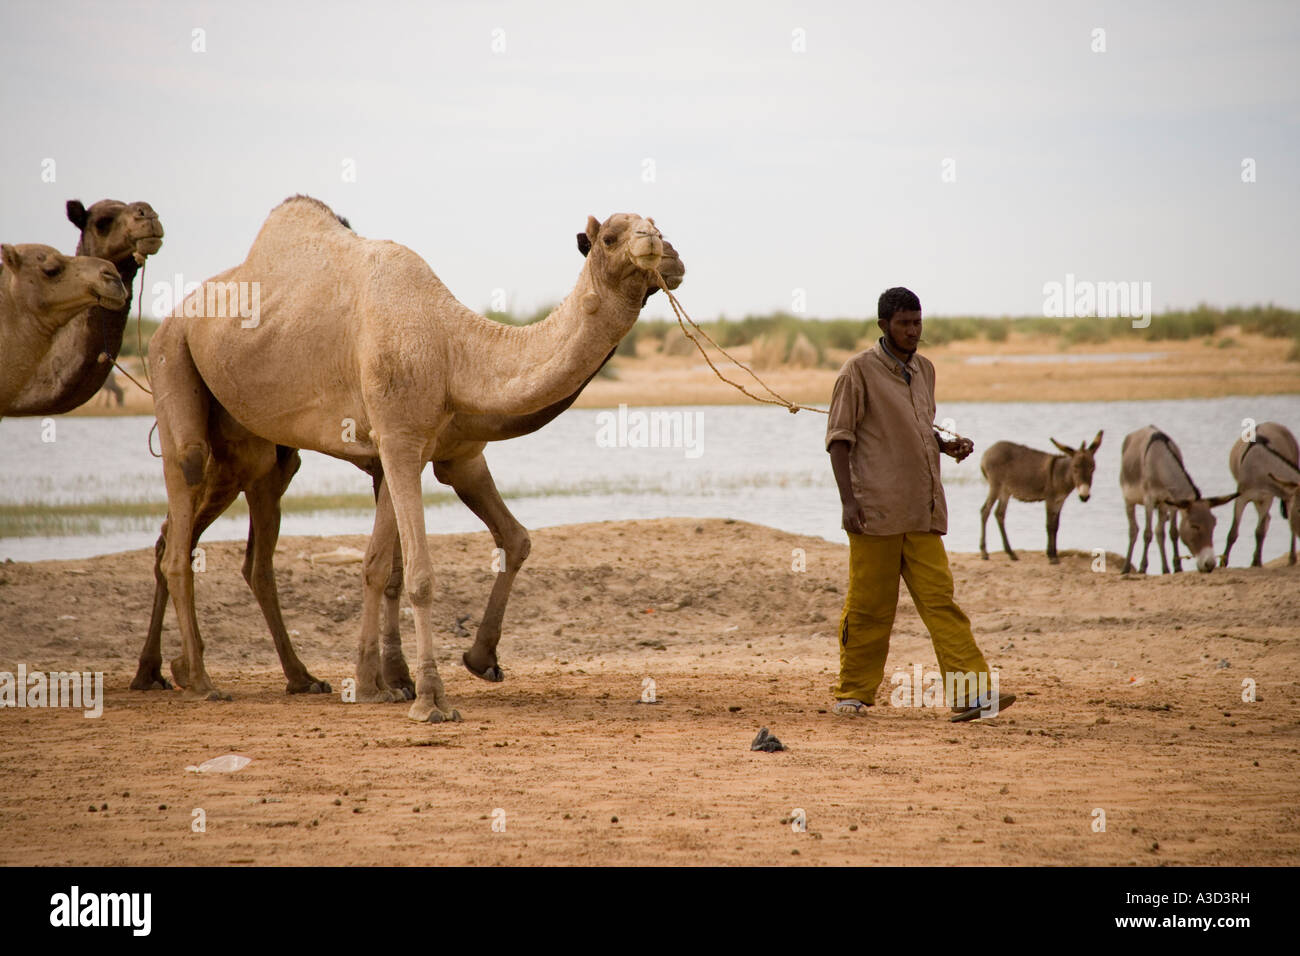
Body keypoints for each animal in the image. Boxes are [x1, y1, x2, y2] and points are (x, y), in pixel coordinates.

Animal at [147, 196, 683, 722]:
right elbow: (419, 575)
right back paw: (200, 680)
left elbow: (381, 565)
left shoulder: (409, 447)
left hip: (257, 444)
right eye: (610, 236)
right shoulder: (402, 438)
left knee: (224, 541)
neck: (452, 348)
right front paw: (428, 698)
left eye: (656, 225)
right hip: (172, 356)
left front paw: (375, 684)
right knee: (182, 507)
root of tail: (175, 313)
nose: (660, 248)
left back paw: (254, 675)